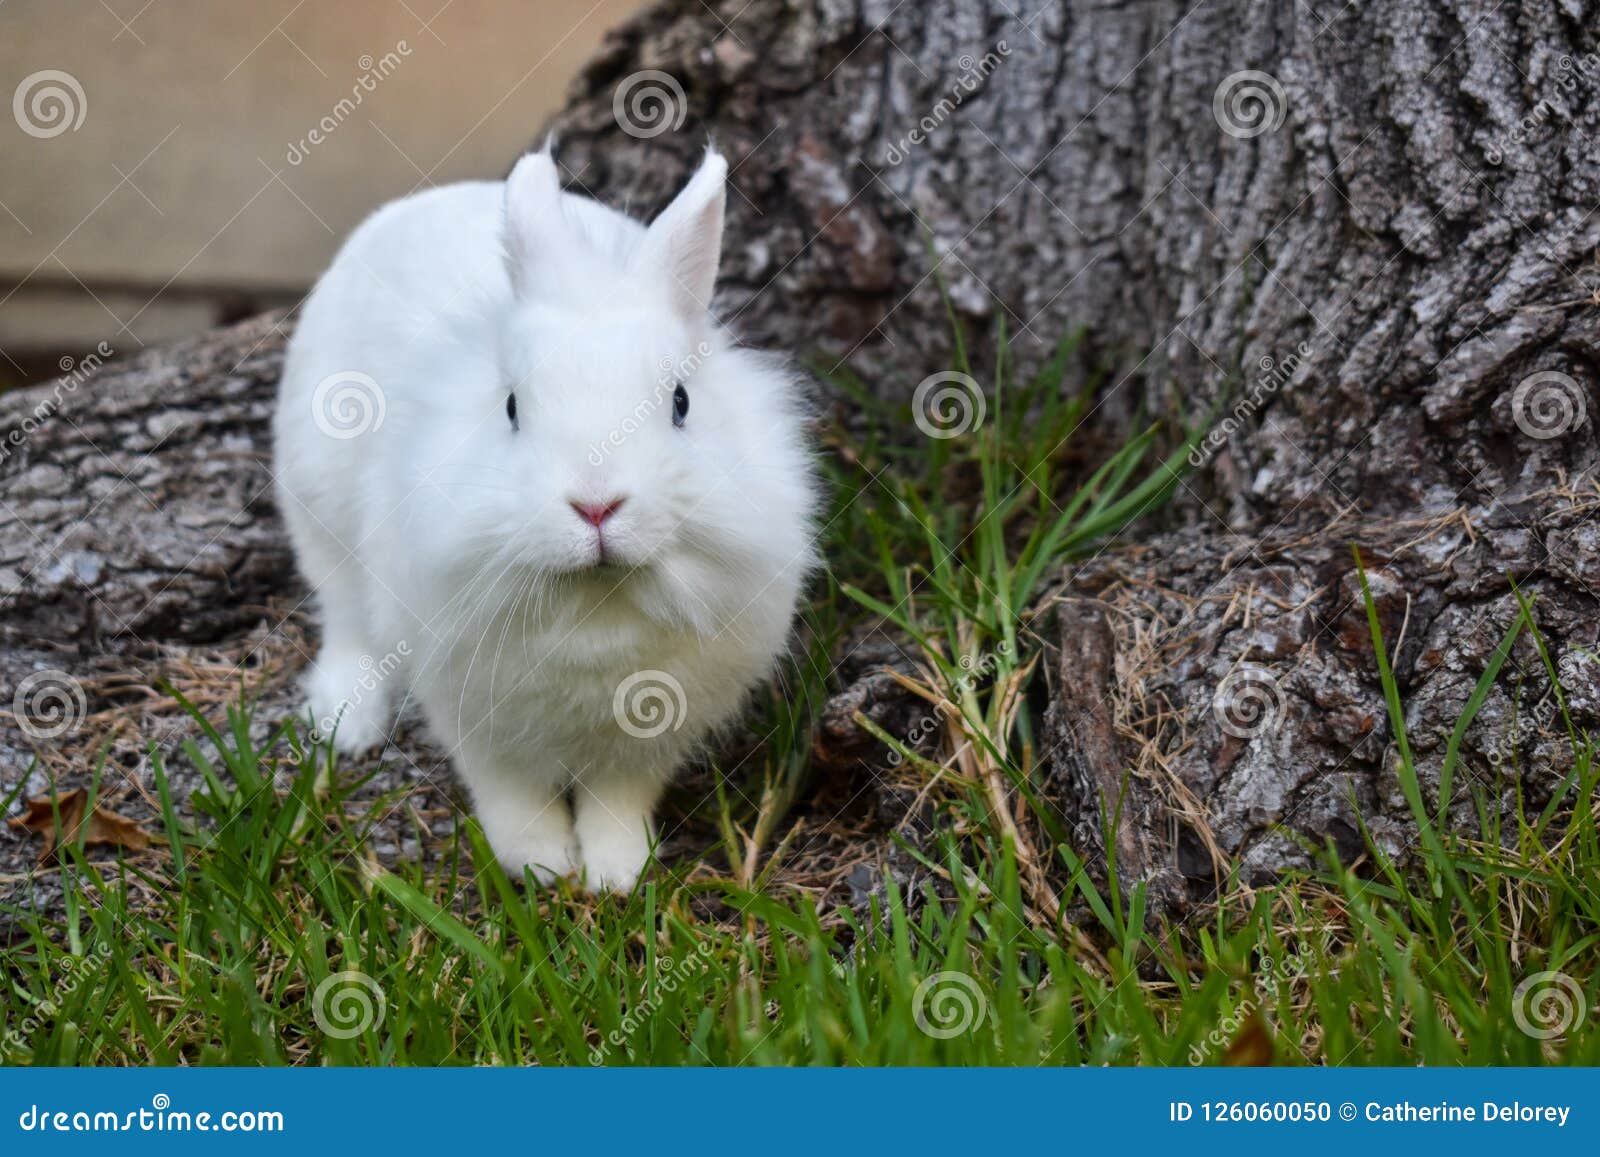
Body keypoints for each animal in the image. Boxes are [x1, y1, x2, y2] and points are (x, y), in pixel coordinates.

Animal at [272, 143, 819, 892]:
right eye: (510, 407)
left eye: (681, 402)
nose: (596, 504)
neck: (597, 601)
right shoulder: (471, 712)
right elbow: (510, 792)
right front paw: (540, 863)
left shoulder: (651, 732)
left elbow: (619, 796)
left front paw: (616, 872)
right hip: (319, 507)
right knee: (346, 616)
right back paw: (345, 721)